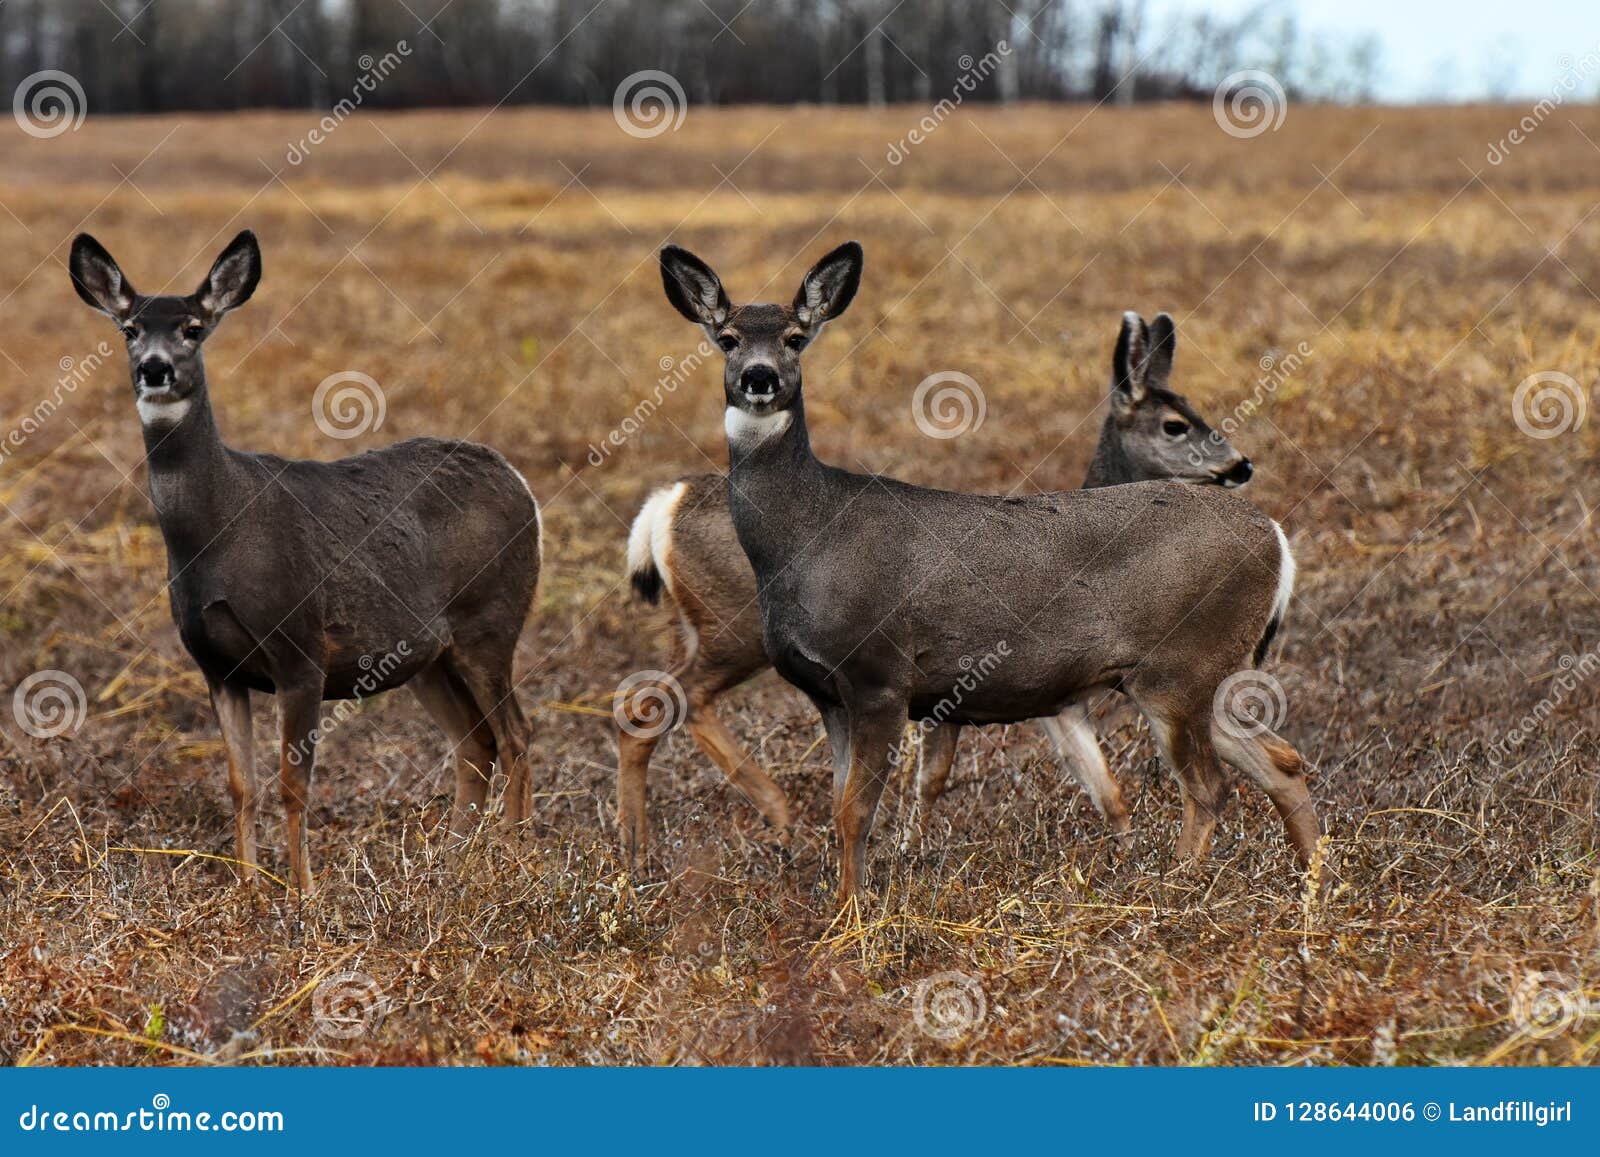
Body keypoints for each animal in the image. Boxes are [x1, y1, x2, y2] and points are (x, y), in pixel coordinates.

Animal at [69, 230, 542, 895]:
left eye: (192, 327)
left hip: (490, 619)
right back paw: (454, 864)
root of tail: (519, 481)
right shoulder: (216, 667)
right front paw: (247, 890)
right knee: (477, 744)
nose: (154, 368)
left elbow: (294, 786)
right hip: (428, 653)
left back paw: (513, 860)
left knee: (516, 734)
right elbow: (241, 786)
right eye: (130, 328)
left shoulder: (301, 651)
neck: (218, 533)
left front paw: (304, 893)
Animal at [657, 240, 1319, 901]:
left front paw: (852, 913)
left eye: (796, 337)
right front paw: (851, 897)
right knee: (1280, 762)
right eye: (726, 338)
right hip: (1197, 673)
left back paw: (1174, 890)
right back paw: (1313, 883)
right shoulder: (829, 695)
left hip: (1179, 666)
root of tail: (1276, 537)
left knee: (1210, 785)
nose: (759, 377)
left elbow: (855, 812)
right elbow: (845, 808)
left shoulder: (881, 677)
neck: (806, 537)